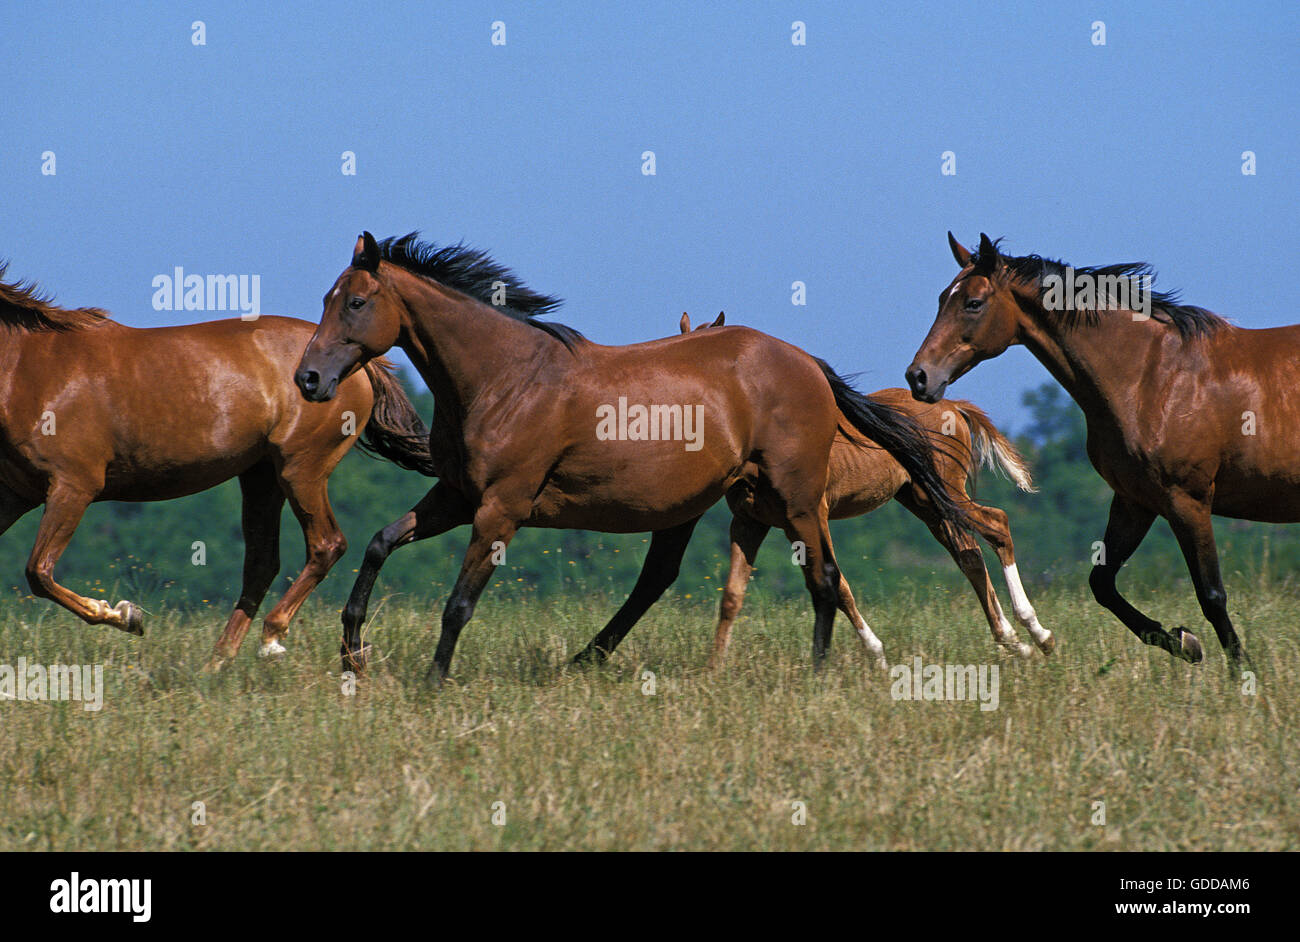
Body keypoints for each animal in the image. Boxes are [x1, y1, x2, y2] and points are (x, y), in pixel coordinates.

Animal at [0, 263, 436, 667]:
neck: (29, 369)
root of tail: (364, 366)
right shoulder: (16, 494)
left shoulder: (73, 485)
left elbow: (38, 571)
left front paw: (127, 615)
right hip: (262, 477)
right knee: (262, 564)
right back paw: (217, 665)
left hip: (301, 470)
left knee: (326, 545)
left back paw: (270, 639)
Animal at [293, 232, 972, 684]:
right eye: (328, 297)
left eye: (355, 302)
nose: (308, 378)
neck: (506, 379)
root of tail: (808, 364)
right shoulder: (457, 497)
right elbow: (381, 542)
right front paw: (352, 652)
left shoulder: (500, 509)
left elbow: (459, 602)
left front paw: (433, 684)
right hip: (698, 506)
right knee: (660, 580)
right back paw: (585, 660)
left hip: (797, 498)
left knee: (824, 578)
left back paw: (816, 674)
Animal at [676, 312, 1052, 667]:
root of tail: (953, 406)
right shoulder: (752, 522)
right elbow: (733, 594)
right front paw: (713, 668)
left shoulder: (813, 516)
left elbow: (838, 585)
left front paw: (877, 654)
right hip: (925, 501)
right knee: (970, 556)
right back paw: (1013, 642)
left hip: (947, 492)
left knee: (996, 524)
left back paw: (1037, 633)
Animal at [906, 232, 1280, 670]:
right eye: (941, 299)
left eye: (973, 303)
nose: (918, 377)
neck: (1153, 377)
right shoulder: (1137, 500)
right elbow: (1102, 585)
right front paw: (1184, 641)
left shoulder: (1188, 500)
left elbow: (1212, 594)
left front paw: (1242, 675)